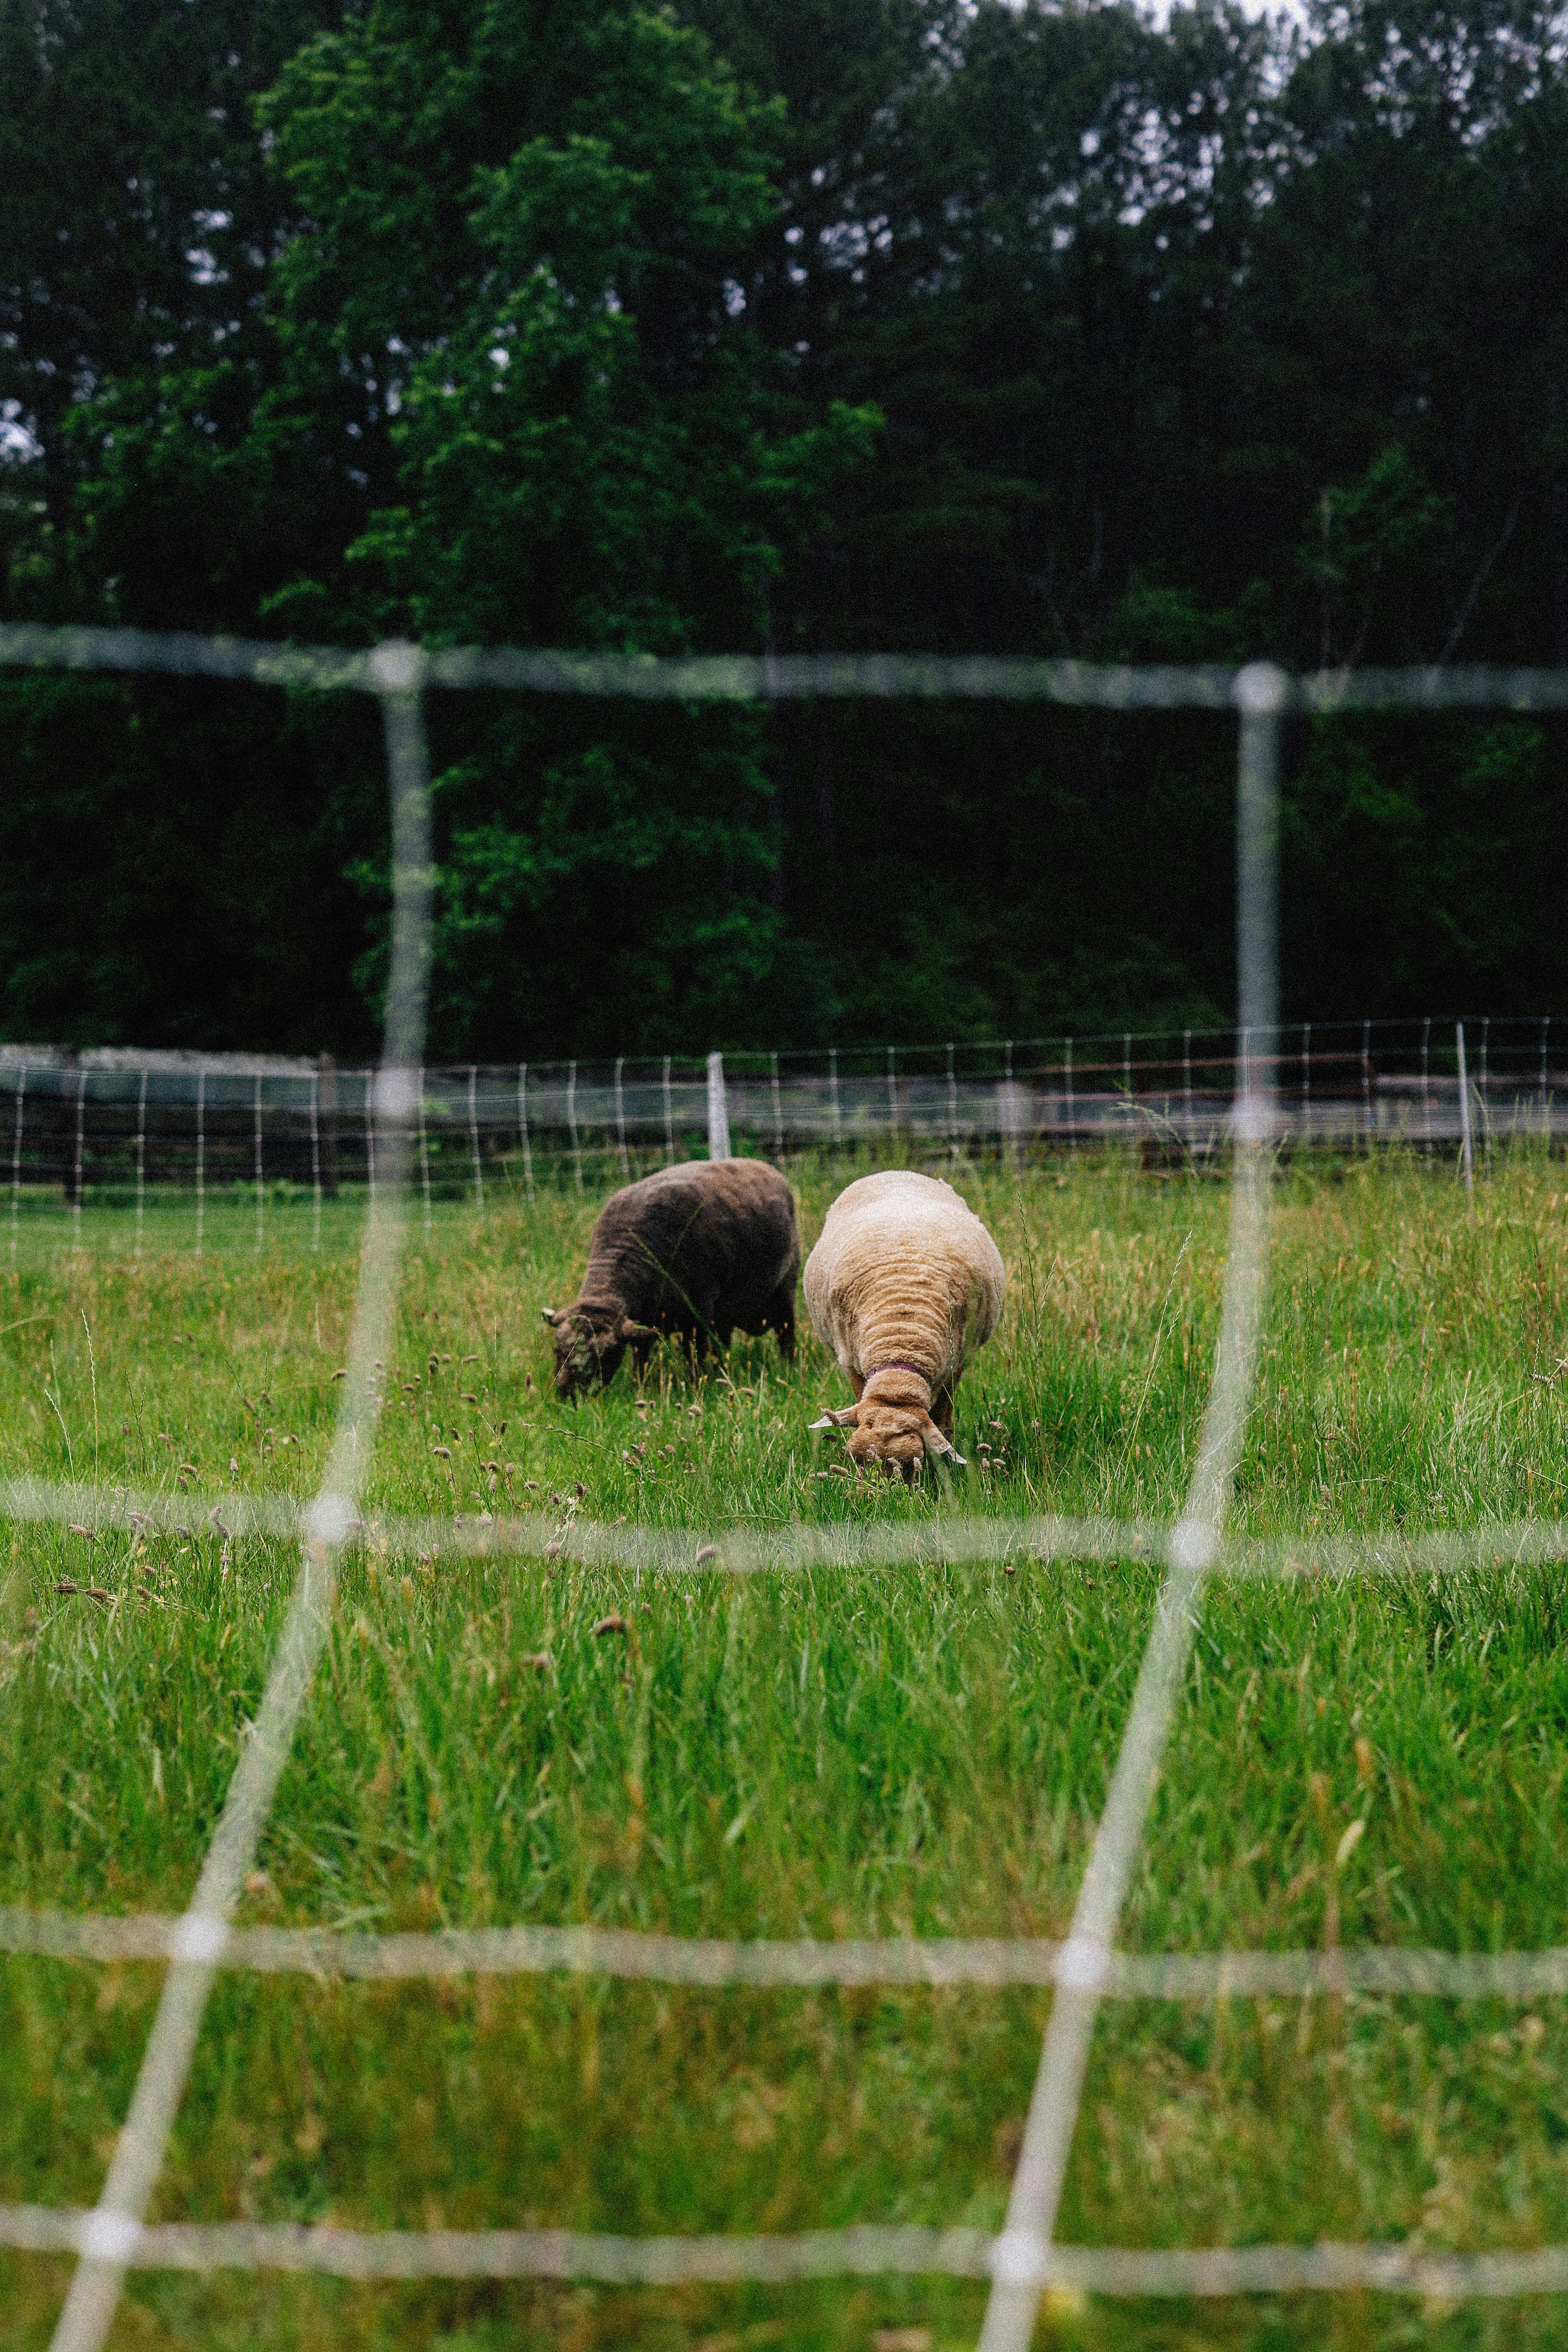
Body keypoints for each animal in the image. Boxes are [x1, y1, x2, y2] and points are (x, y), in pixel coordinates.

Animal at [542, 1158, 800, 1399]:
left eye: (604, 1355)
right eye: (557, 1350)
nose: (568, 1395)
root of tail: (768, 1169)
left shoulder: (699, 1310)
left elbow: (693, 1353)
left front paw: (696, 1385)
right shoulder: (644, 1320)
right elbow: (641, 1357)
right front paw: (639, 1388)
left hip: (785, 1290)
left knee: (786, 1333)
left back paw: (788, 1369)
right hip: (725, 1311)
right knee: (723, 1343)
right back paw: (721, 1371)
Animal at [803, 1169, 1006, 1477]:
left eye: (912, 1466)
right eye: (855, 1460)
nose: (881, 1491)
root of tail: (896, 1172)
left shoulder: (956, 1364)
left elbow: (942, 1418)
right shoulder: (850, 1361)